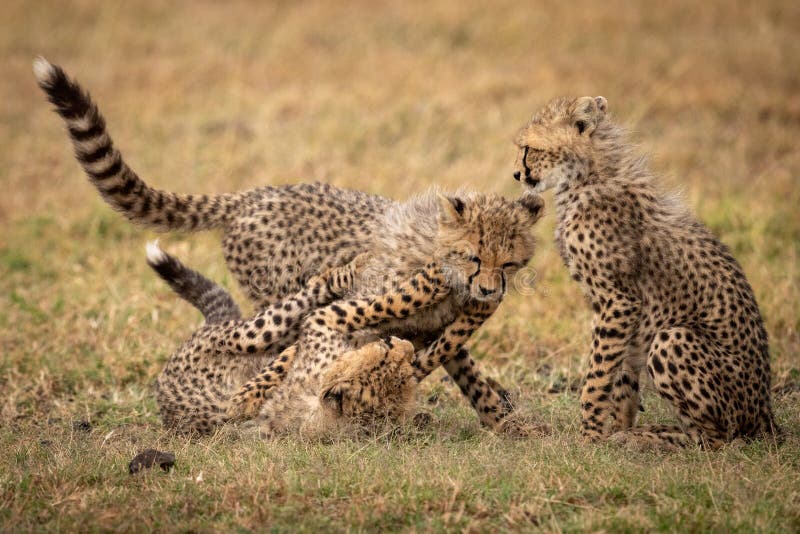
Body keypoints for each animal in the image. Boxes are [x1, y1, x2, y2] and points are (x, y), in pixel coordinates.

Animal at [34, 57, 546, 432]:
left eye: (510, 264)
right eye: (474, 256)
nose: (489, 291)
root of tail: (253, 195)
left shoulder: (424, 328)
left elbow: (456, 359)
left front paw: (503, 420)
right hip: (273, 294)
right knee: (280, 324)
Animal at [512, 95, 778, 450]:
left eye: (529, 148)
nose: (516, 174)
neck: (586, 178)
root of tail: (767, 415)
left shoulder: (619, 301)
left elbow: (597, 376)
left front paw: (589, 438)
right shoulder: (619, 308)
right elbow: (621, 373)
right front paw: (615, 425)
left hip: (673, 337)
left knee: (716, 439)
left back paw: (647, 437)